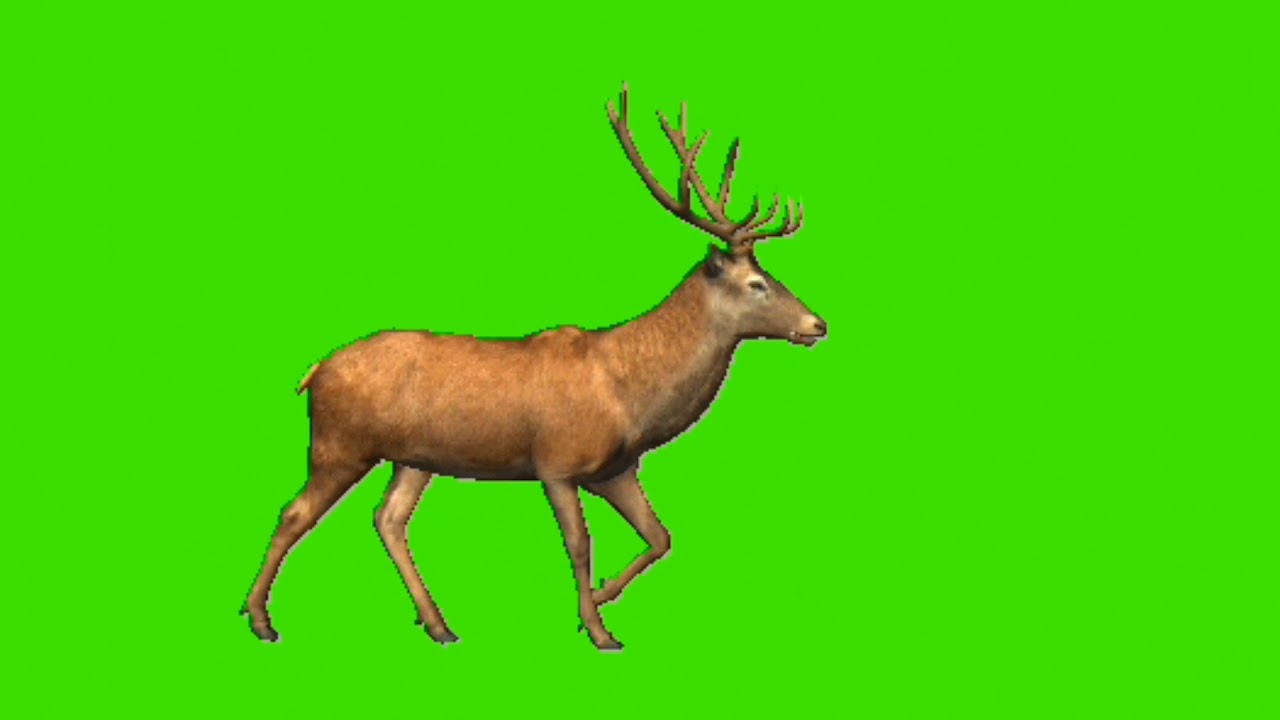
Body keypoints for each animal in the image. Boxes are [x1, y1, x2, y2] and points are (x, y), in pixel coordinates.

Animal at [242, 84, 827, 651]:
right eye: (757, 283)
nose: (817, 324)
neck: (633, 394)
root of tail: (314, 371)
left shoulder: (616, 468)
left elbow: (660, 537)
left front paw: (600, 600)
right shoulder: (558, 461)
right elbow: (580, 542)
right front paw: (597, 630)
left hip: (413, 456)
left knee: (388, 519)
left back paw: (438, 625)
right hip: (341, 443)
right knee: (296, 512)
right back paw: (261, 620)